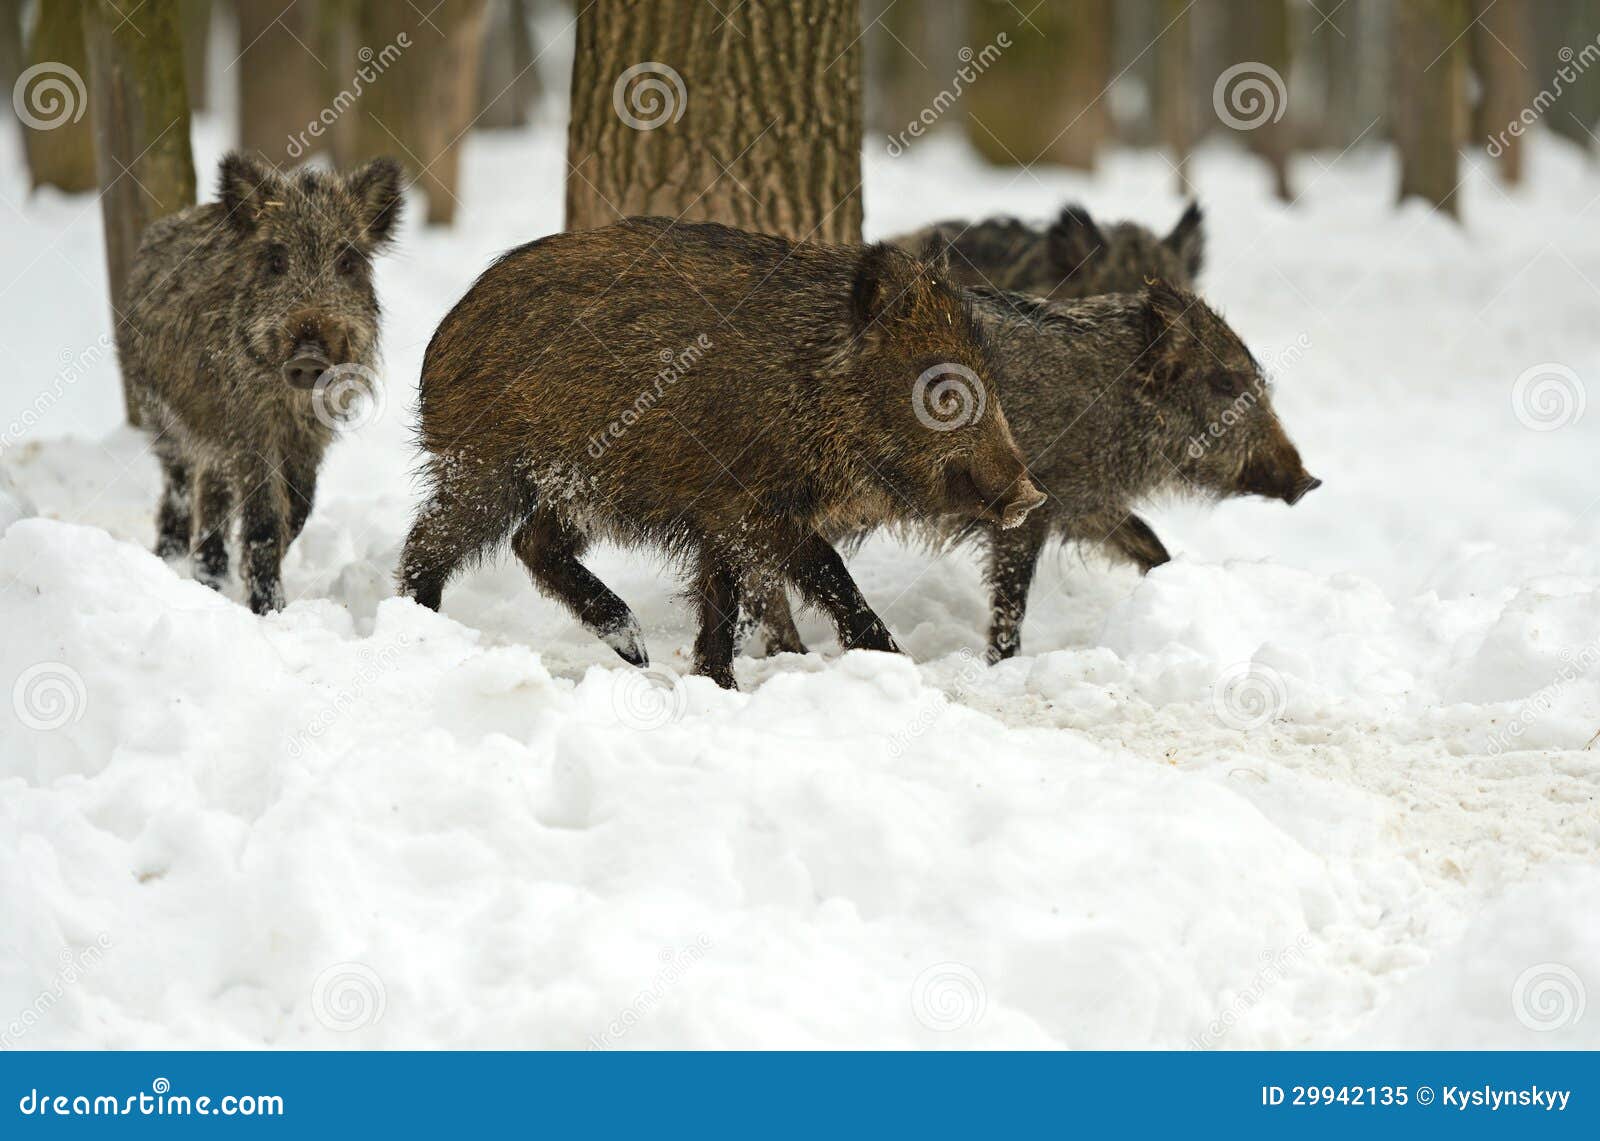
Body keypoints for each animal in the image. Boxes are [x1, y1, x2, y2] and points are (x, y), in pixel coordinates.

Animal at [118, 151, 403, 613]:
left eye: (347, 261)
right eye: (275, 261)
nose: (309, 355)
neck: (290, 400)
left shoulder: (311, 436)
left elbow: (299, 508)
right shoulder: (247, 426)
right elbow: (264, 519)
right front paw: (269, 609)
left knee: (211, 492)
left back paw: (211, 576)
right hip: (161, 413)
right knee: (179, 485)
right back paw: (172, 561)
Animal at [397, 216, 1045, 689]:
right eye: (942, 389)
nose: (1031, 496)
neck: (813, 386)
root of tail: (446, 330)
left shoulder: (720, 515)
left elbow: (720, 604)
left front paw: (716, 686)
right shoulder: (751, 506)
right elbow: (828, 573)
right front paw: (896, 664)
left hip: (579, 485)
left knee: (531, 543)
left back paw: (634, 650)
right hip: (488, 464)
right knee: (435, 542)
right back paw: (415, 623)